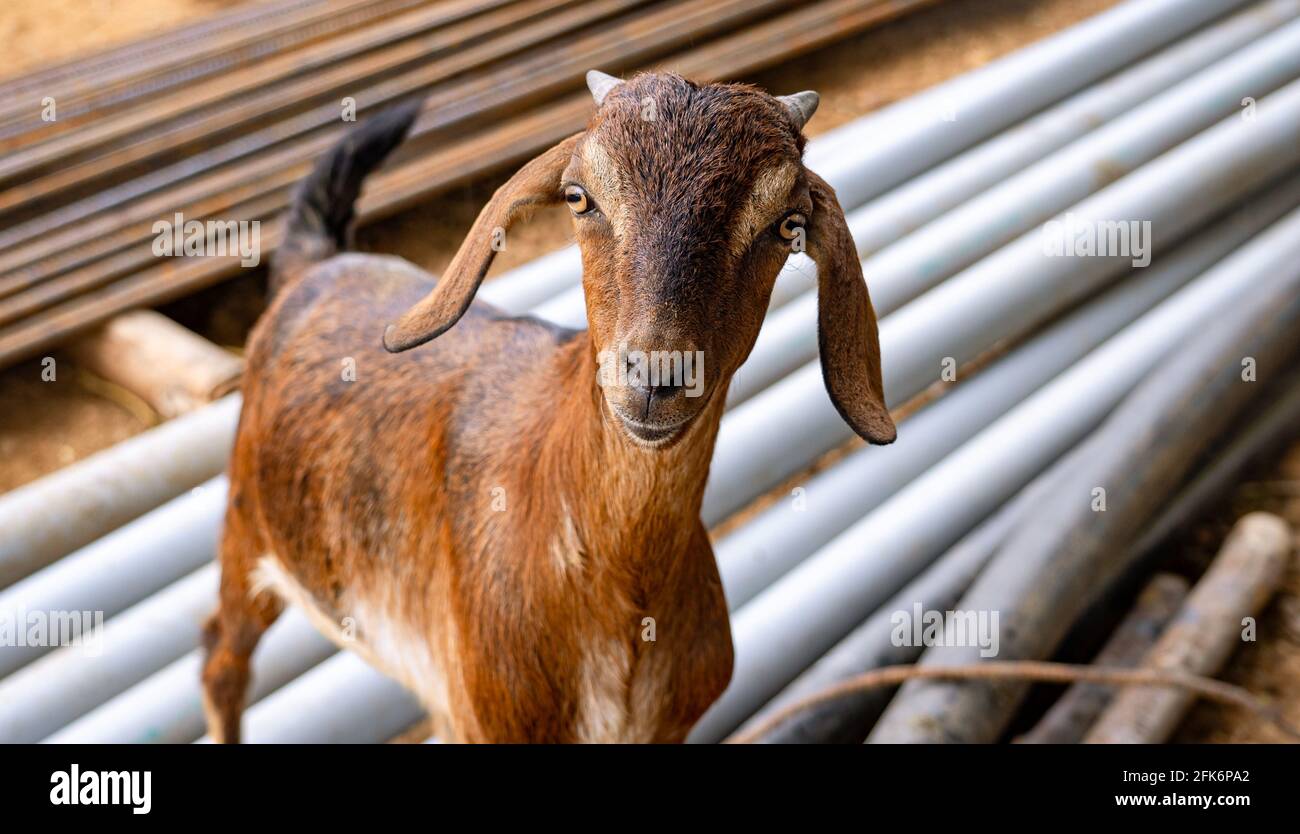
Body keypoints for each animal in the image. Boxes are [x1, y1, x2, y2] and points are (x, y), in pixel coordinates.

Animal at [201, 71, 895, 744]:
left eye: (787, 224)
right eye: (579, 197)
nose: (656, 374)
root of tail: (316, 267)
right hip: (246, 529)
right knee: (220, 657)